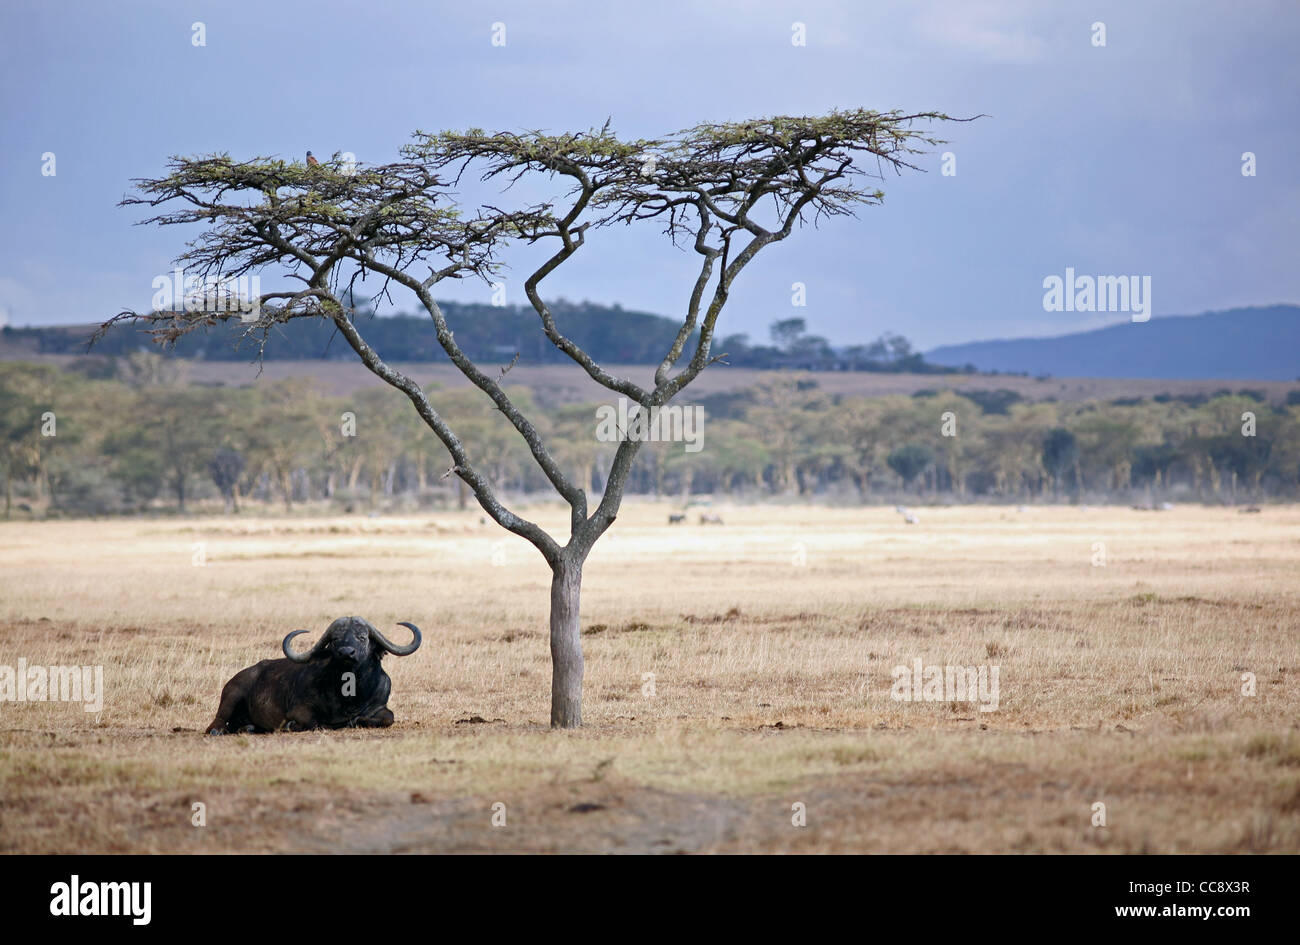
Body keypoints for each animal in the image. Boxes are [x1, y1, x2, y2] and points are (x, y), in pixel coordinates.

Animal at [206, 616, 422, 734]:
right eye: (335, 639)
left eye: (362, 637)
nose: (347, 652)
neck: (350, 694)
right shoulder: (300, 709)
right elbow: (314, 722)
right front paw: (291, 726)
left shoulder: (379, 706)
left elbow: (388, 718)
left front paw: (357, 721)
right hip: (232, 694)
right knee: (217, 721)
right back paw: (217, 730)